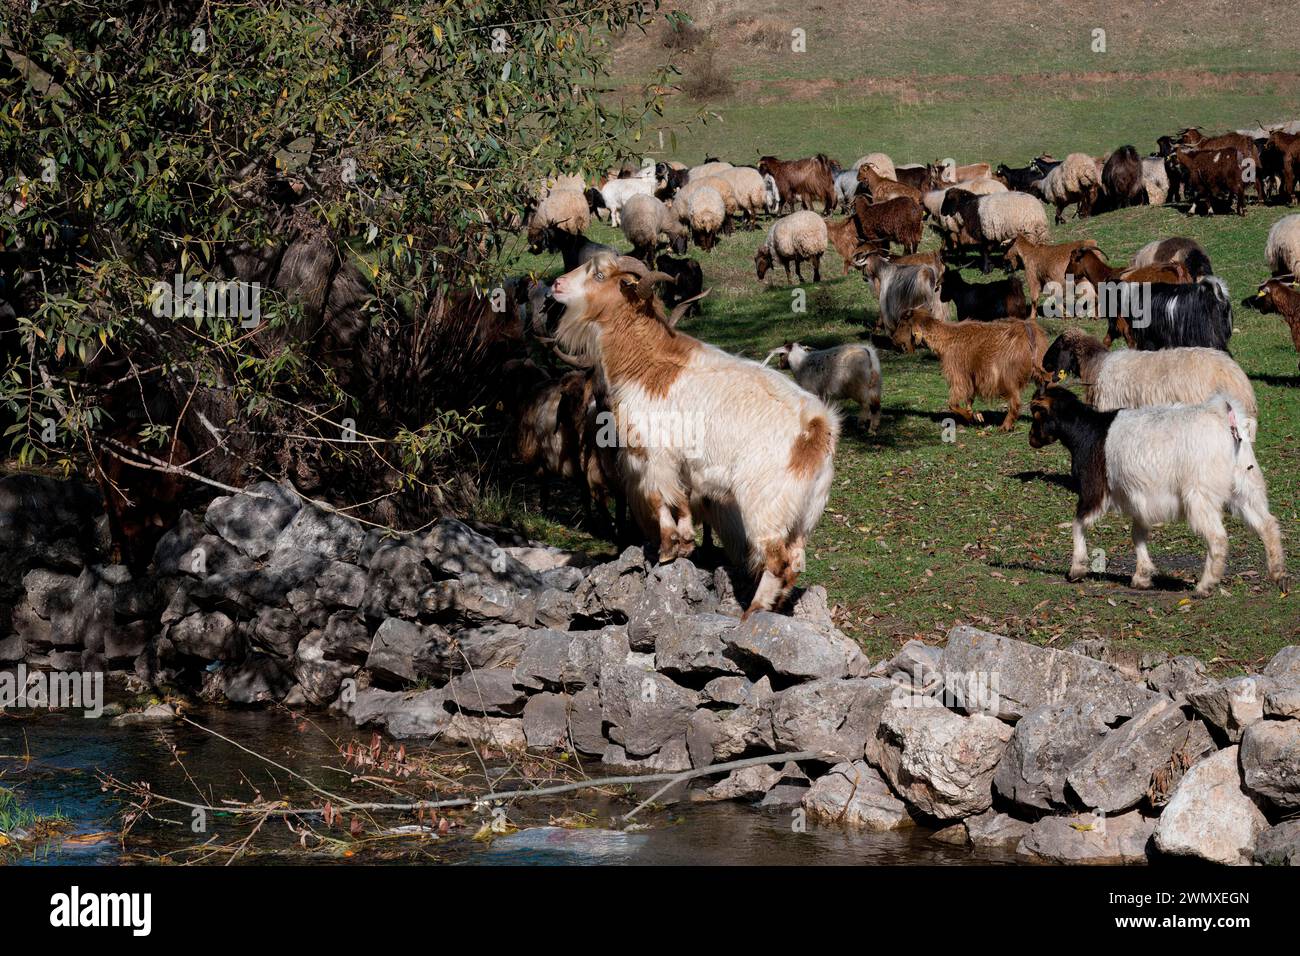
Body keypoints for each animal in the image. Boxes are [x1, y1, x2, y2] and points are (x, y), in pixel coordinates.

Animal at [552, 253, 838, 617]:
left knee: (777, 562)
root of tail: (817, 427)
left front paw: (667, 550)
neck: (650, 364)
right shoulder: (684, 464)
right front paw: (686, 542)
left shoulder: (653, 453)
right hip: (805, 515)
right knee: (797, 561)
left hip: (765, 509)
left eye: (600, 274)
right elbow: (683, 498)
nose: (556, 284)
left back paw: (753, 613)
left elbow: (658, 496)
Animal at [898, 307, 1048, 430]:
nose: (896, 341)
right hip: (1042, 368)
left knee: (1015, 401)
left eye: (902, 323)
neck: (947, 339)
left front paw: (972, 417)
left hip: (1008, 375)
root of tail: (1028, 331)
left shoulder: (958, 374)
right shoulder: (971, 376)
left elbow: (952, 403)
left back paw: (1005, 426)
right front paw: (972, 416)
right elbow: (969, 398)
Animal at [1029, 386, 1286, 595]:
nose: (1031, 439)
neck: (1089, 431)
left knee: (1218, 538)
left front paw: (1076, 569)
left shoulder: (1094, 490)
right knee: (1267, 524)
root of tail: (1224, 417)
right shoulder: (1139, 497)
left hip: (1200, 495)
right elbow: (1138, 534)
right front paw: (1142, 576)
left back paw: (1205, 586)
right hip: (1245, 487)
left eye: (1036, 413)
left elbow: (1078, 523)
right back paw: (1278, 575)